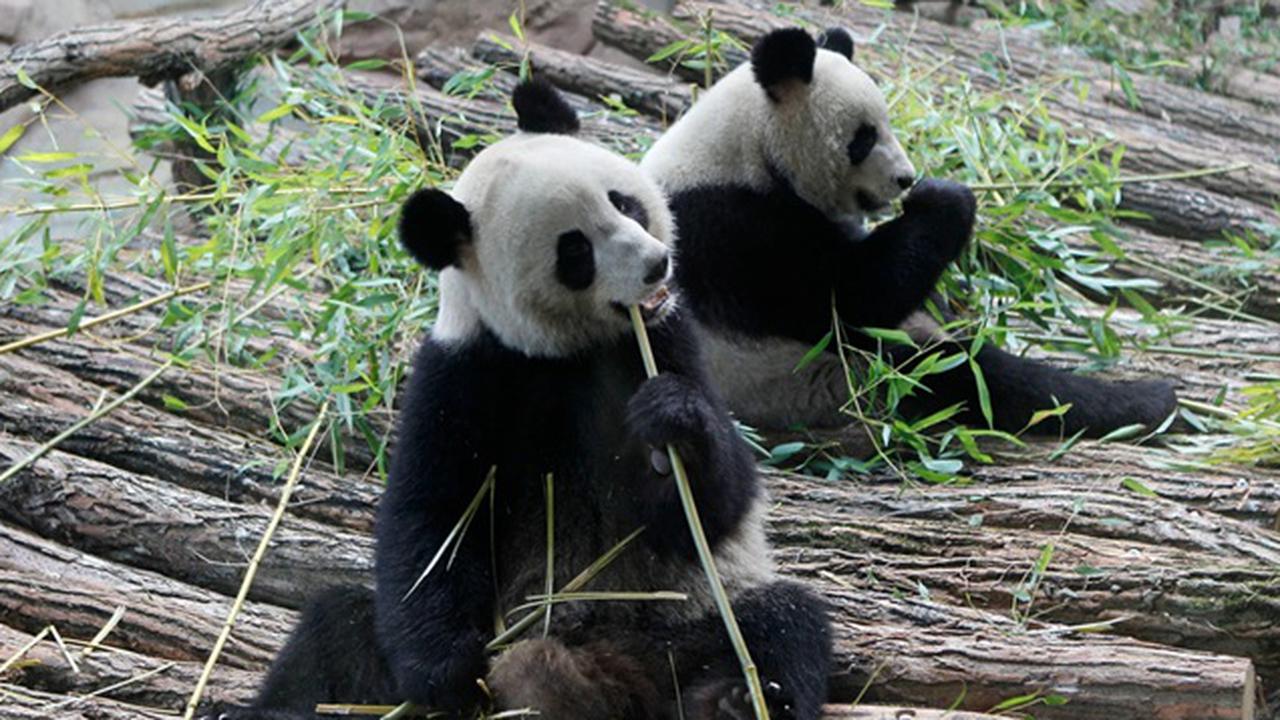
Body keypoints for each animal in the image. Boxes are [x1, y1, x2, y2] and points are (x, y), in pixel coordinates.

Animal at [210, 80, 831, 720]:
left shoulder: (666, 340)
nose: (656, 263)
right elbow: (430, 519)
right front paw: (449, 675)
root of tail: (608, 678)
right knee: (336, 623)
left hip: (687, 620)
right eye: (575, 251)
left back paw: (733, 698)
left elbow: (710, 509)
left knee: (782, 622)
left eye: (624, 203)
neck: (565, 351)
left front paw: (672, 422)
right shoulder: (465, 374)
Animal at [640, 27, 1178, 441]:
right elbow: (848, 299)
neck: (747, 148)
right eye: (863, 138)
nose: (905, 179)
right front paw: (946, 198)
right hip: (820, 379)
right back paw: (1145, 402)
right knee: (963, 375)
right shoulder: (735, 230)